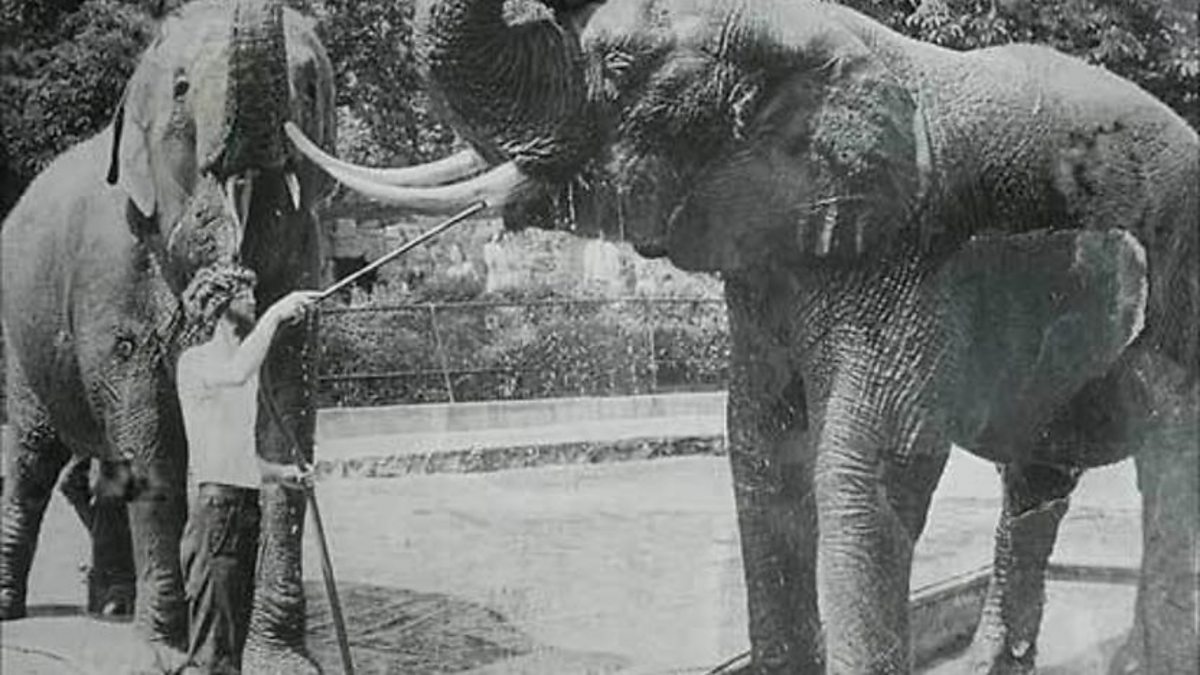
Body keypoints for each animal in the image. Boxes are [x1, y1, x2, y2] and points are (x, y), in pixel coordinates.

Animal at [1, 0, 336, 671]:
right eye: (181, 90)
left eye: (311, 88)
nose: (232, 279)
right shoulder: (116, 269)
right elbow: (151, 439)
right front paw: (164, 651)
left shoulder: (304, 253)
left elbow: (284, 405)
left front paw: (281, 660)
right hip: (20, 343)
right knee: (32, 461)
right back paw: (15, 607)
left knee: (93, 468)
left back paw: (112, 603)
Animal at [286, 0, 1198, 672]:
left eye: (618, 70)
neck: (816, 37)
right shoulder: (768, 267)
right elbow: (762, 448)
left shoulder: (904, 244)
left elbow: (872, 463)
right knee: (1037, 478)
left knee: (1166, 457)